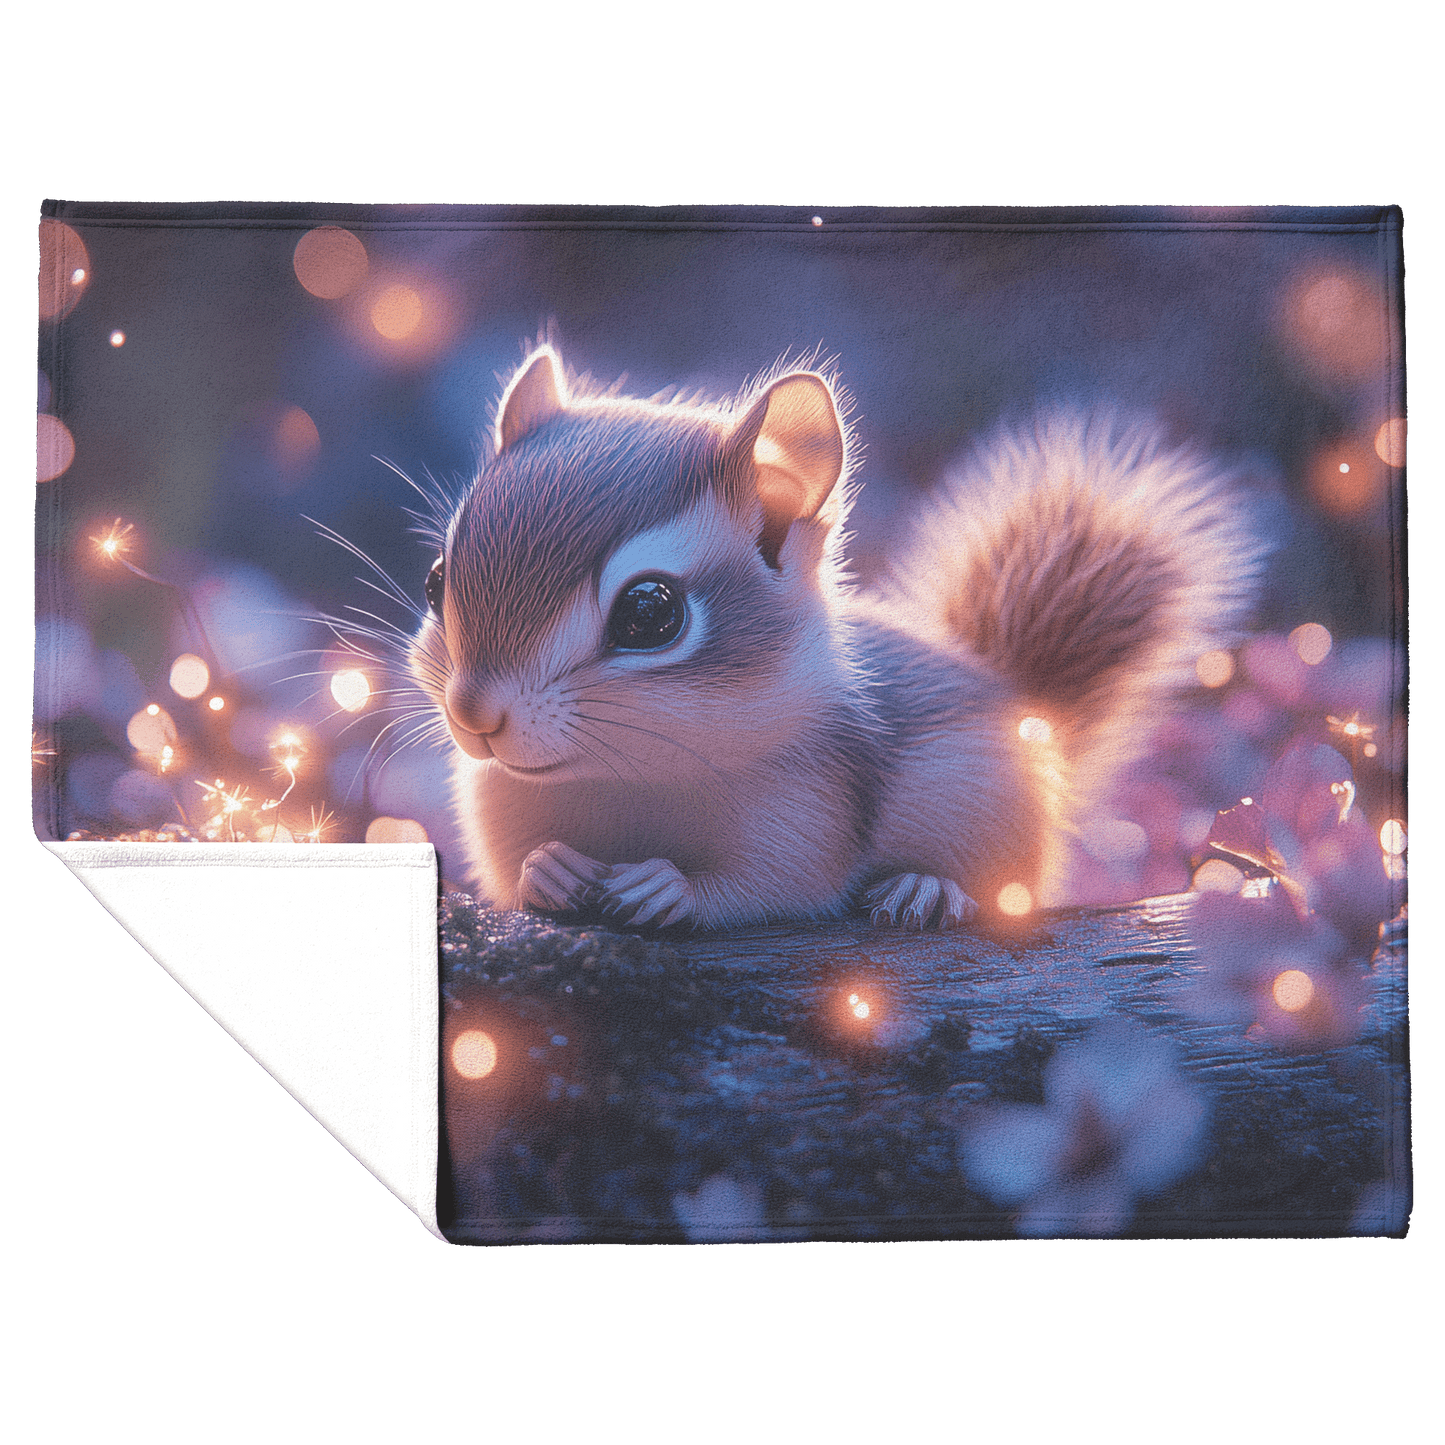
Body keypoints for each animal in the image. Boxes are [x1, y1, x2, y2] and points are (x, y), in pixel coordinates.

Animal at [407, 346, 1268, 931]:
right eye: (434, 578)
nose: (474, 715)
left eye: (649, 612)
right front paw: (549, 869)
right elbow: (513, 870)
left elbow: (776, 886)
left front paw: (669, 885)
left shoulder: (810, 811)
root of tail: (1031, 712)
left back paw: (927, 887)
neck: (624, 775)